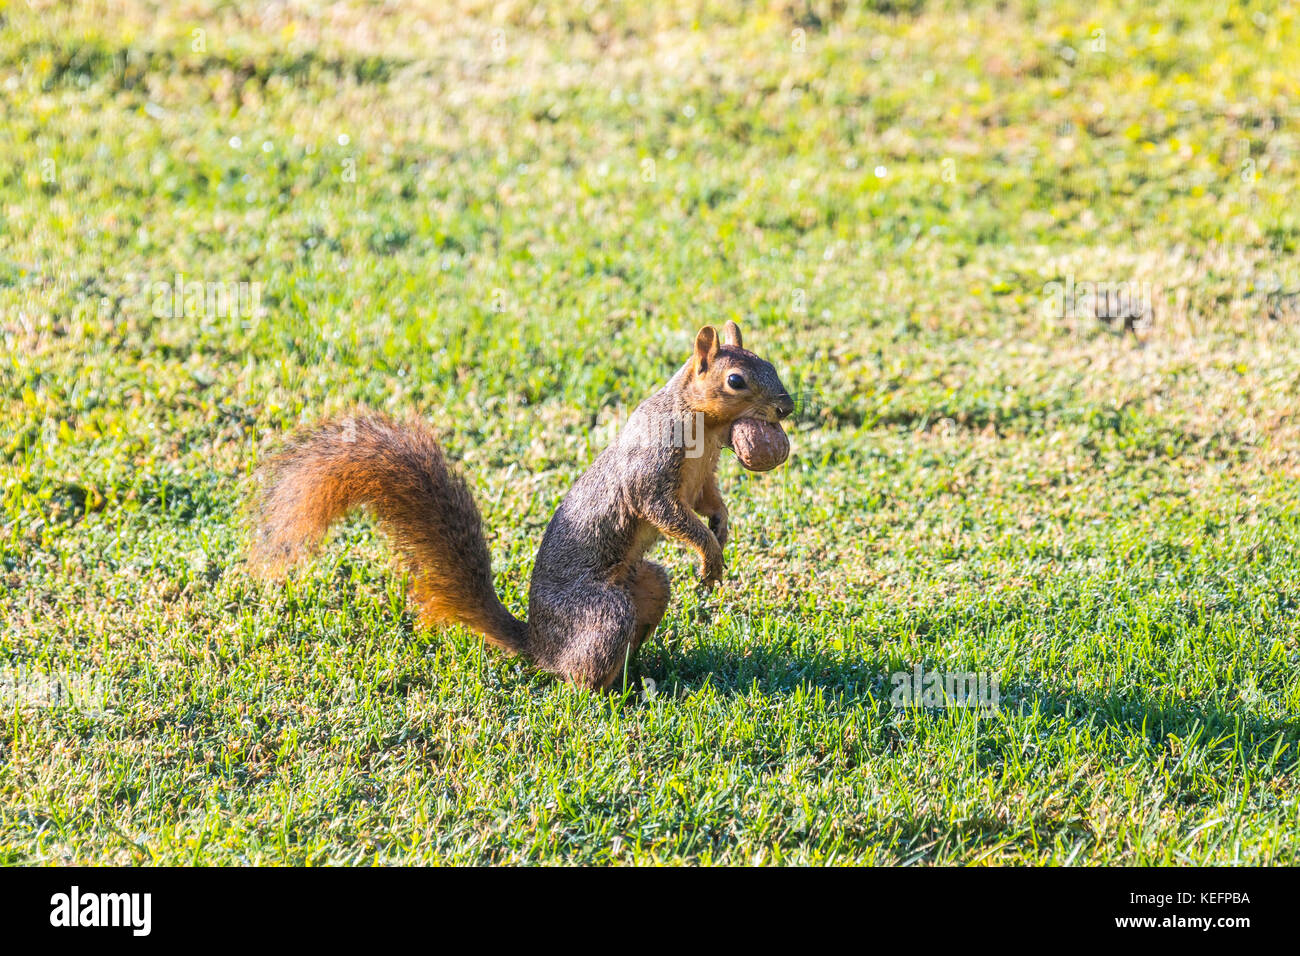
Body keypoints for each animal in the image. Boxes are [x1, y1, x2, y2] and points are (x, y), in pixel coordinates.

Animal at [250, 320, 794, 691]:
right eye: (737, 380)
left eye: (769, 363)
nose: (787, 408)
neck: (703, 424)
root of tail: (539, 646)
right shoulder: (652, 474)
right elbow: (668, 512)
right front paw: (708, 553)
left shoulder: (703, 478)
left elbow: (709, 501)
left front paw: (721, 529)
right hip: (601, 611)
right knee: (580, 675)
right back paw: (620, 694)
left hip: (647, 584)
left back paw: (644, 677)